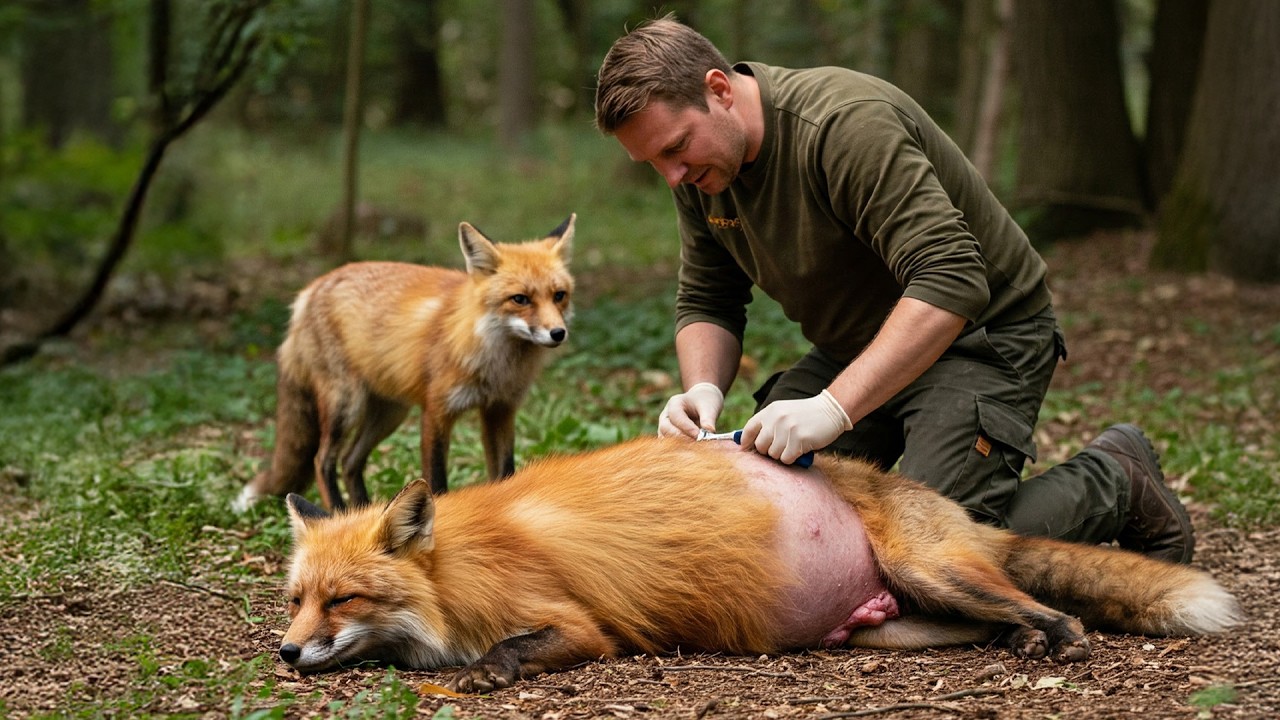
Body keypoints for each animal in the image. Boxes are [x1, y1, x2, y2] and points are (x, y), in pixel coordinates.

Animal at [235, 215, 575, 511]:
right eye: (520, 299)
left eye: (559, 295)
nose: (558, 333)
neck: (496, 361)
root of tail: (311, 288)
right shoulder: (436, 410)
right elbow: (437, 480)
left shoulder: (500, 410)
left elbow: (506, 474)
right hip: (347, 404)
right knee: (323, 460)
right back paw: (337, 514)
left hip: (390, 413)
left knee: (349, 461)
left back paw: (362, 514)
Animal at [278, 436, 1241, 692]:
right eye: (296, 602)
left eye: (344, 600)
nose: (285, 653)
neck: (459, 573)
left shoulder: (587, 628)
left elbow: (510, 649)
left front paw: (484, 670)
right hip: (892, 630)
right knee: (991, 622)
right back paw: (1016, 646)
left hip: (937, 573)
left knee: (1059, 611)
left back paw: (1054, 642)